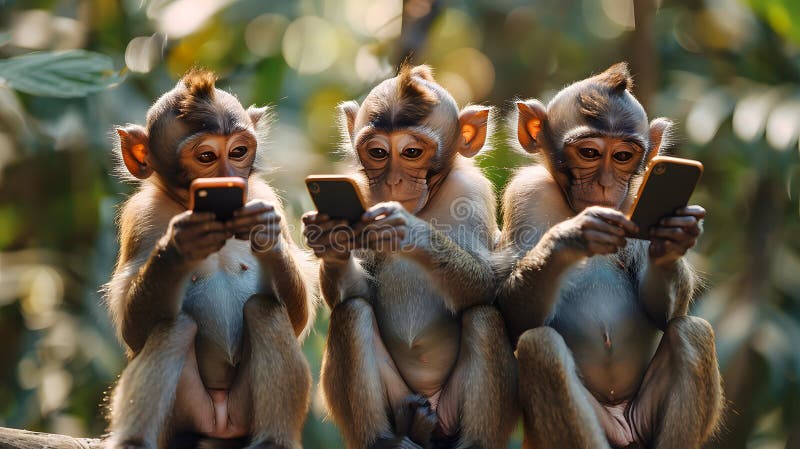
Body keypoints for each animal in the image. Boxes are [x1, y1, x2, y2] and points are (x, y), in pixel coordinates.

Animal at [104, 69, 314, 449]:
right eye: (205, 157)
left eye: (238, 151)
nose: (228, 178)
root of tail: (220, 423)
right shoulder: (141, 218)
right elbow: (133, 331)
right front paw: (179, 245)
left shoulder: (265, 196)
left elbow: (297, 317)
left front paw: (266, 234)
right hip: (184, 417)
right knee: (174, 326)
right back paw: (133, 441)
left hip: (242, 415)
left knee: (265, 310)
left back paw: (273, 441)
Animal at [301, 64, 518, 449]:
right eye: (378, 152)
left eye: (412, 152)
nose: (393, 181)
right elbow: (356, 292)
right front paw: (332, 239)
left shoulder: (471, 191)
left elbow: (487, 284)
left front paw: (412, 232)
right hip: (399, 397)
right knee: (352, 312)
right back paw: (389, 436)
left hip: (450, 411)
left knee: (483, 316)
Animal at [495, 63, 723, 449]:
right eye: (589, 153)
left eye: (622, 156)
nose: (604, 184)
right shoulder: (528, 192)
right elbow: (515, 318)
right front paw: (572, 236)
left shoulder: (633, 201)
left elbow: (666, 314)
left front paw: (673, 239)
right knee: (541, 347)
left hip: (640, 420)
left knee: (692, 331)